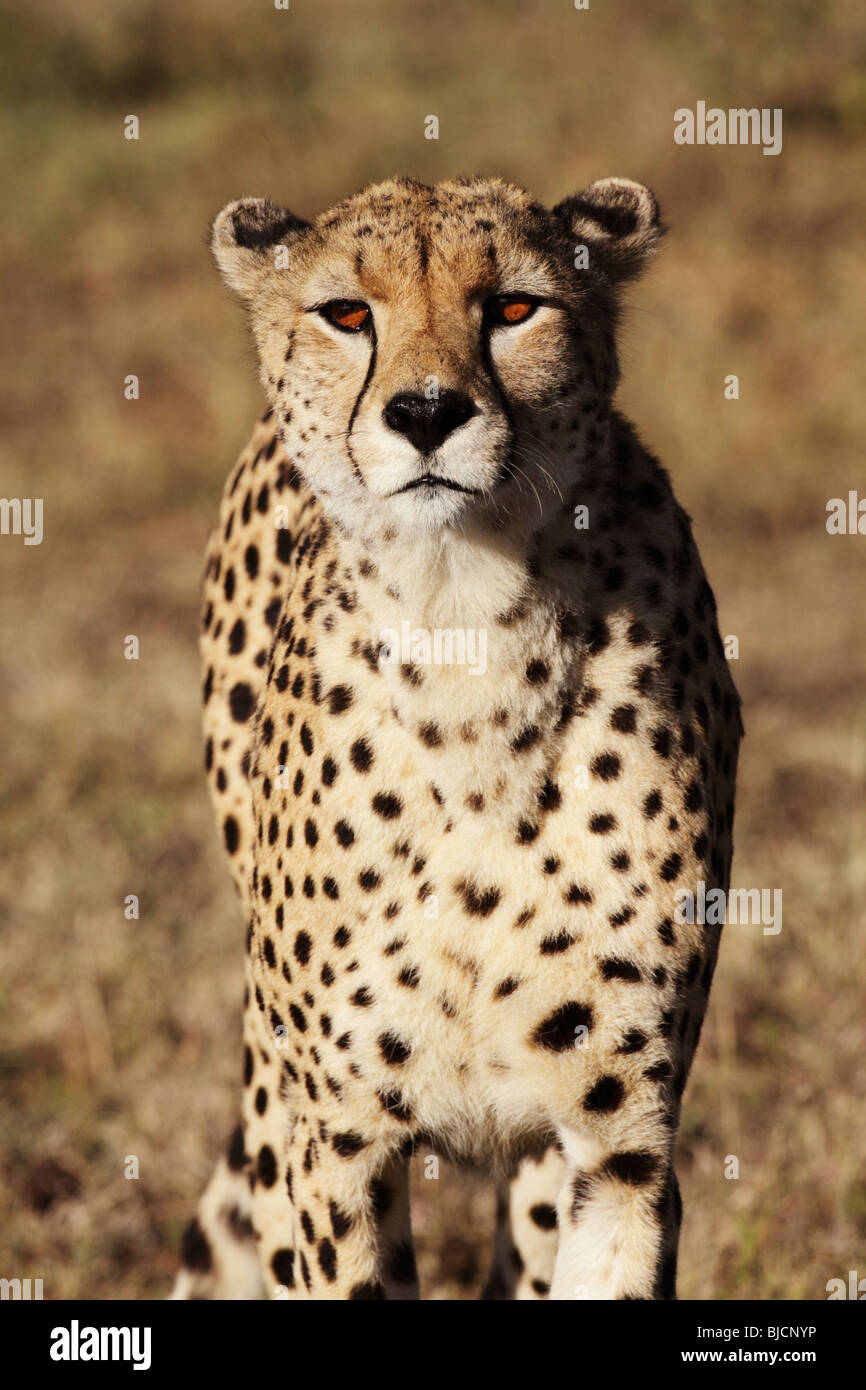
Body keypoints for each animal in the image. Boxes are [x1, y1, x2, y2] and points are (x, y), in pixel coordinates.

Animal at [171, 174, 742, 1301]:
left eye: (514, 307)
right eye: (348, 314)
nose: (427, 411)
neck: (465, 614)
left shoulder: (619, 1143)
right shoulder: (336, 1142)